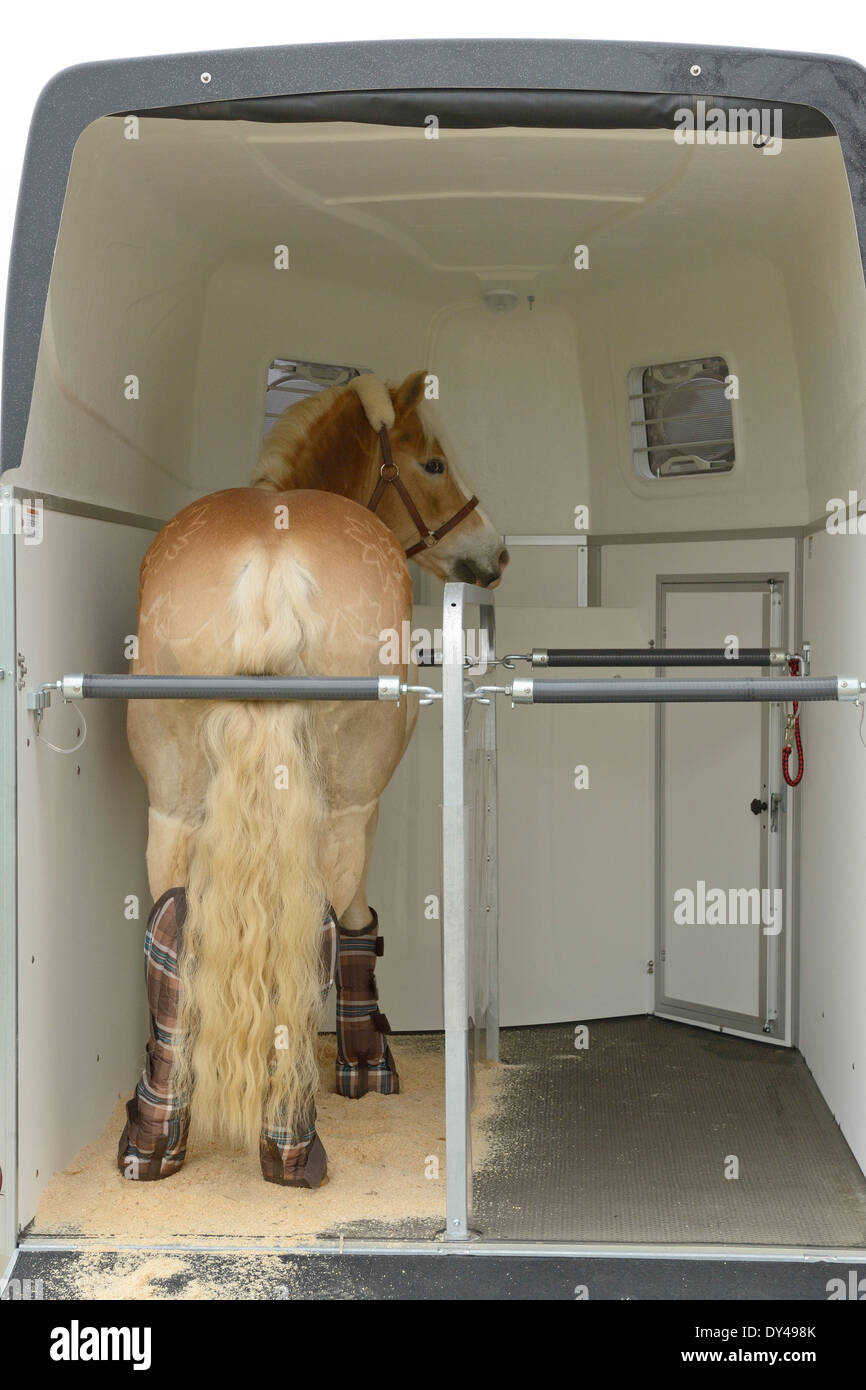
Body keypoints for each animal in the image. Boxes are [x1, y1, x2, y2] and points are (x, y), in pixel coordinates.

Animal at [120, 370, 507, 1187]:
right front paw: (367, 1058)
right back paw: (290, 1142)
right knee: (313, 928)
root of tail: (269, 571)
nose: (496, 552)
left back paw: (156, 1135)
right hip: (344, 801)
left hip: (170, 803)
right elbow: (356, 922)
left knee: (175, 930)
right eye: (433, 462)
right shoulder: (363, 804)